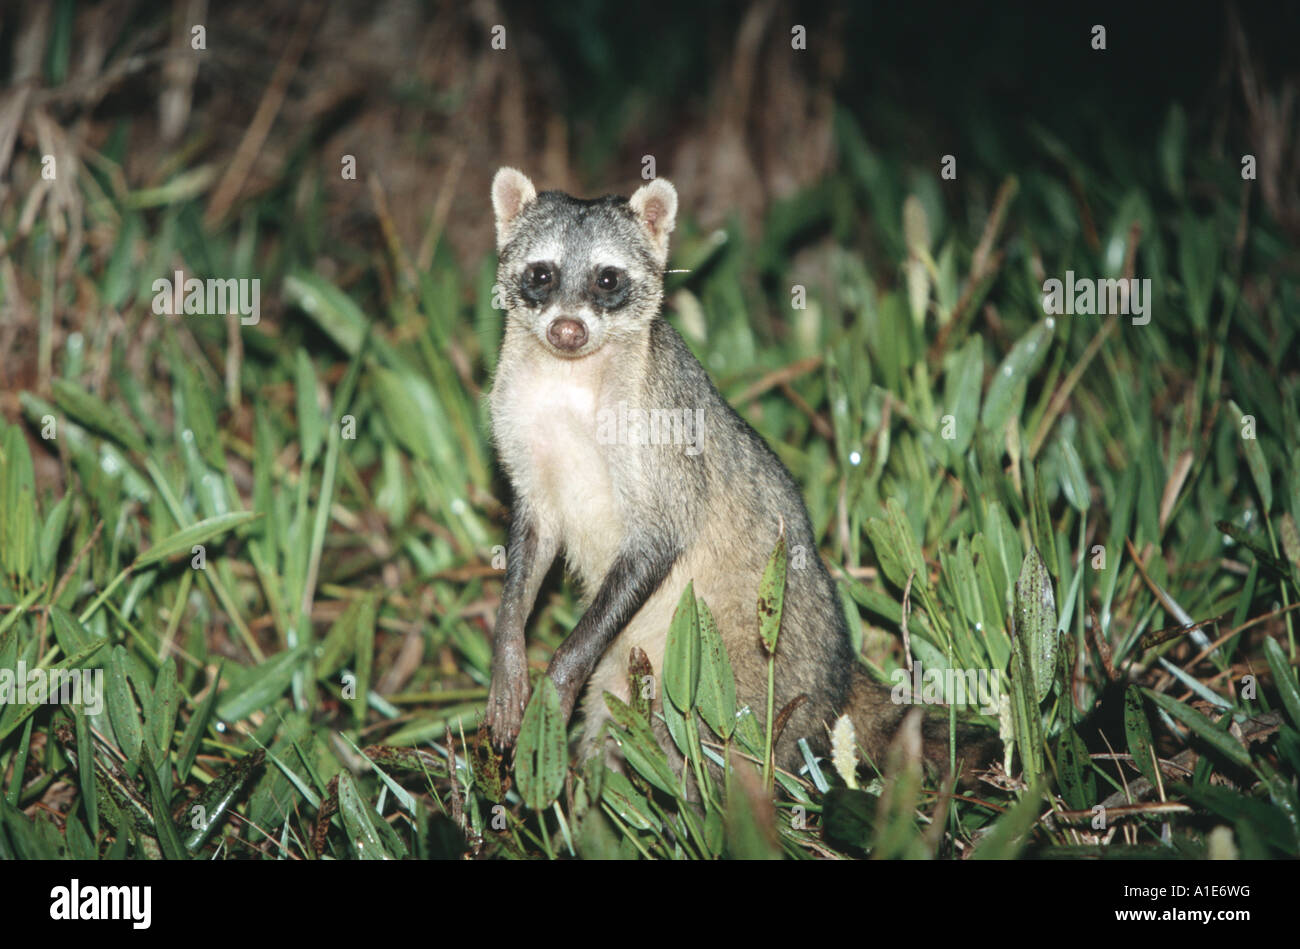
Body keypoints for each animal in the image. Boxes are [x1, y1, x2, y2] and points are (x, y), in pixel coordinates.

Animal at [483, 167, 993, 780]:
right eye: (542, 273)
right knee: (613, 724)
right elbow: (531, 542)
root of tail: (843, 674)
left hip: (738, 668)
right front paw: (509, 651)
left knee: (695, 743)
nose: (566, 331)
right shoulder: (517, 421)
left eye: (607, 279)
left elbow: (659, 538)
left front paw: (560, 670)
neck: (569, 376)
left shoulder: (662, 431)